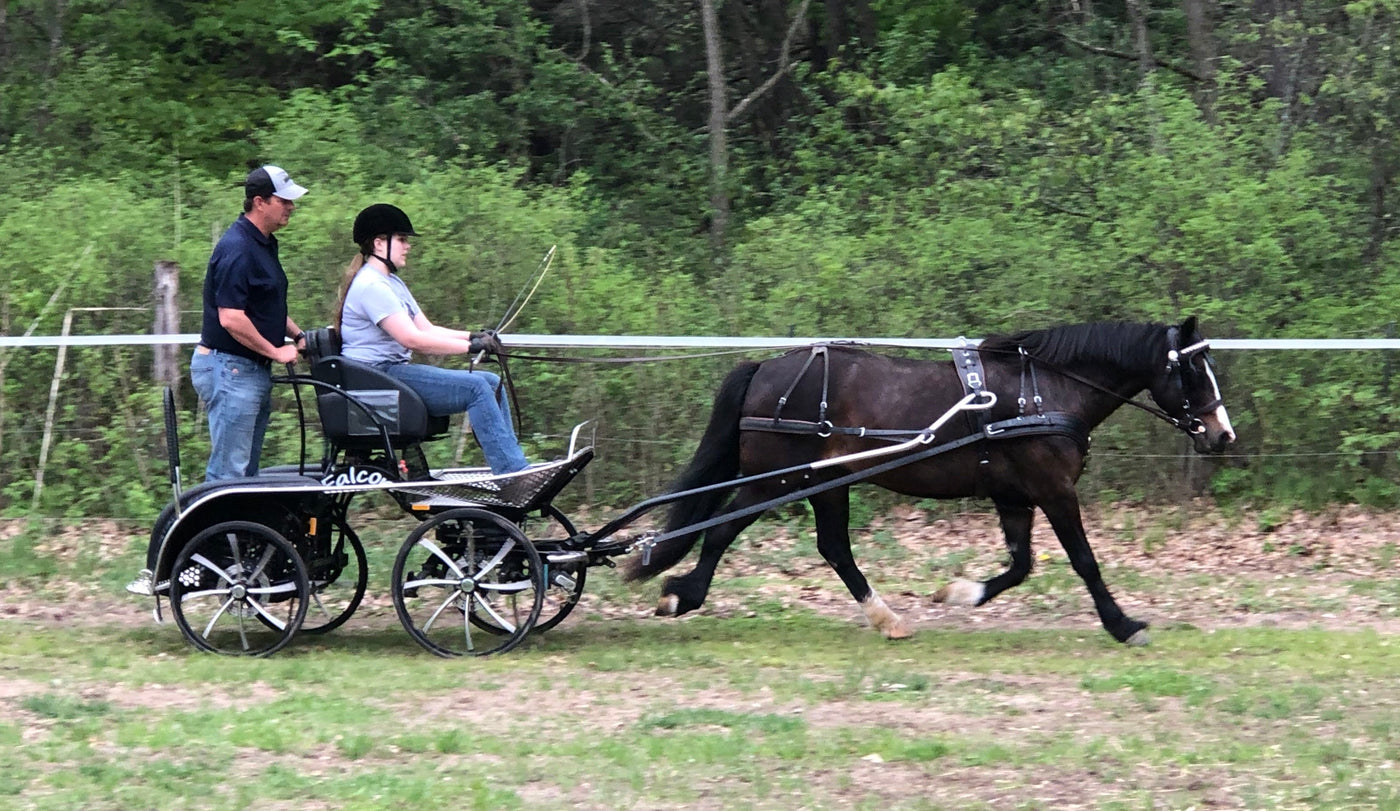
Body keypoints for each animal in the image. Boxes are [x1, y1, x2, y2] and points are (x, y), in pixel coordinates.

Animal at [622, 317, 1235, 645]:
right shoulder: (1054, 491)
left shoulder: (1014, 496)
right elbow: (1084, 561)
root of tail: (766, 369)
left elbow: (1020, 566)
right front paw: (1124, 624)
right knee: (724, 532)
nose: (1222, 434)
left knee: (833, 548)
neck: (1044, 394)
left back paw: (887, 618)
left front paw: (961, 593)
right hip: (779, 479)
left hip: (826, 482)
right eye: (1191, 369)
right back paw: (681, 596)